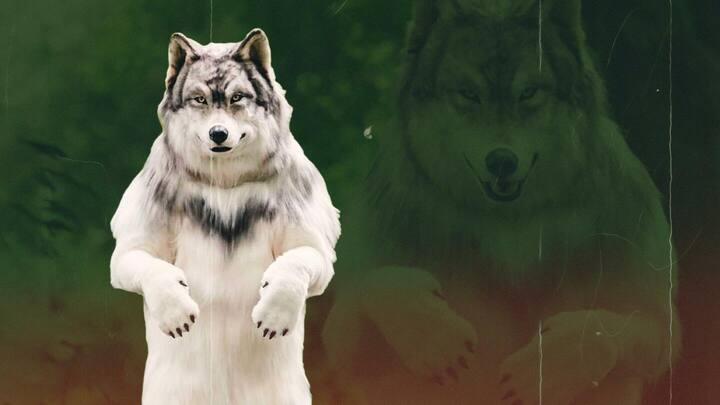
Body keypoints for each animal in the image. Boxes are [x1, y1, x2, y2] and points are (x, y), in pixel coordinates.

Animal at [109, 29, 340, 404]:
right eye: (199, 100)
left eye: (237, 97)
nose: (218, 134)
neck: (225, 186)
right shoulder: (129, 253)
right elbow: (156, 270)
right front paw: (175, 312)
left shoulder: (314, 250)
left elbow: (293, 267)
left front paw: (273, 314)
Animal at [322, 0, 678, 404]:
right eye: (468, 93)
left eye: (528, 93)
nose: (502, 161)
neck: (508, 224)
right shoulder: (343, 339)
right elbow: (378, 285)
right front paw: (433, 336)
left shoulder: (655, 315)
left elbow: (605, 329)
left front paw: (546, 369)